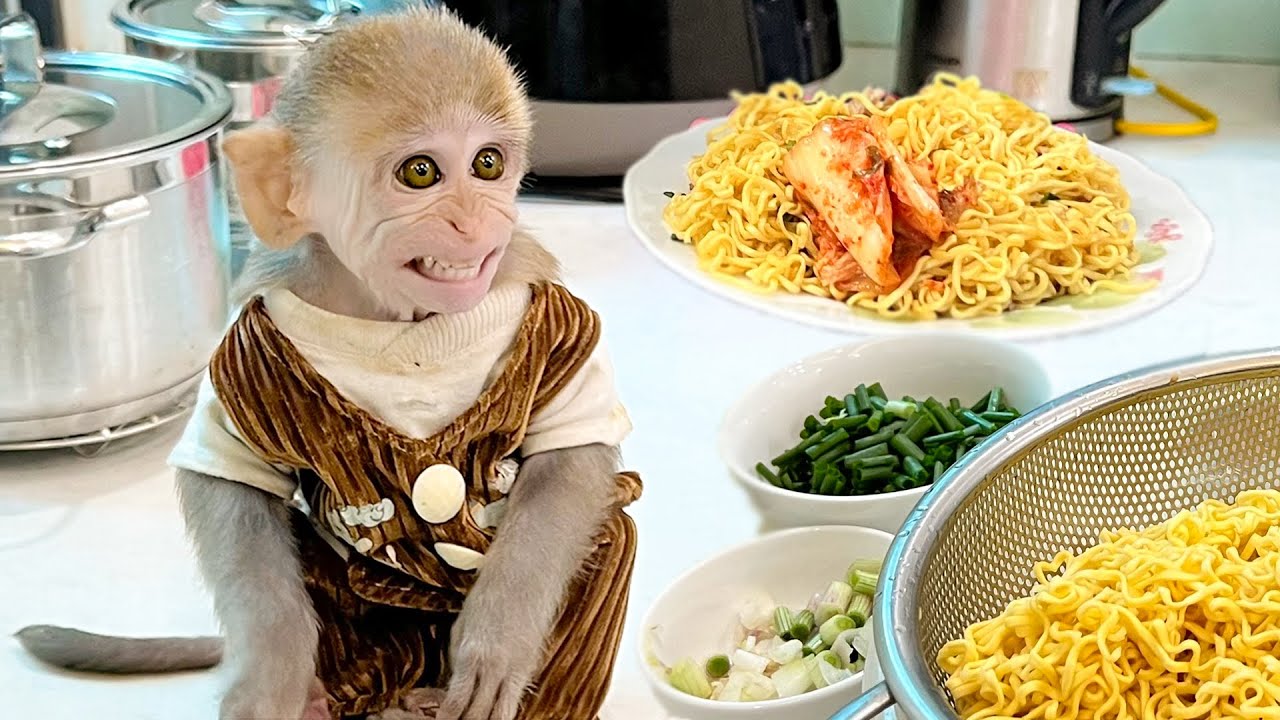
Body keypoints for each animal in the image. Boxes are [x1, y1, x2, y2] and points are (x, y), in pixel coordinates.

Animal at [15, 7, 643, 720]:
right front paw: (272, 676)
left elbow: (570, 463)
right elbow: (233, 490)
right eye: (421, 173)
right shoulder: (242, 350)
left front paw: (495, 644)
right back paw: (330, 696)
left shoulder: (555, 317)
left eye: (487, 163)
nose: (474, 220)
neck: (400, 325)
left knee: (606, 535)